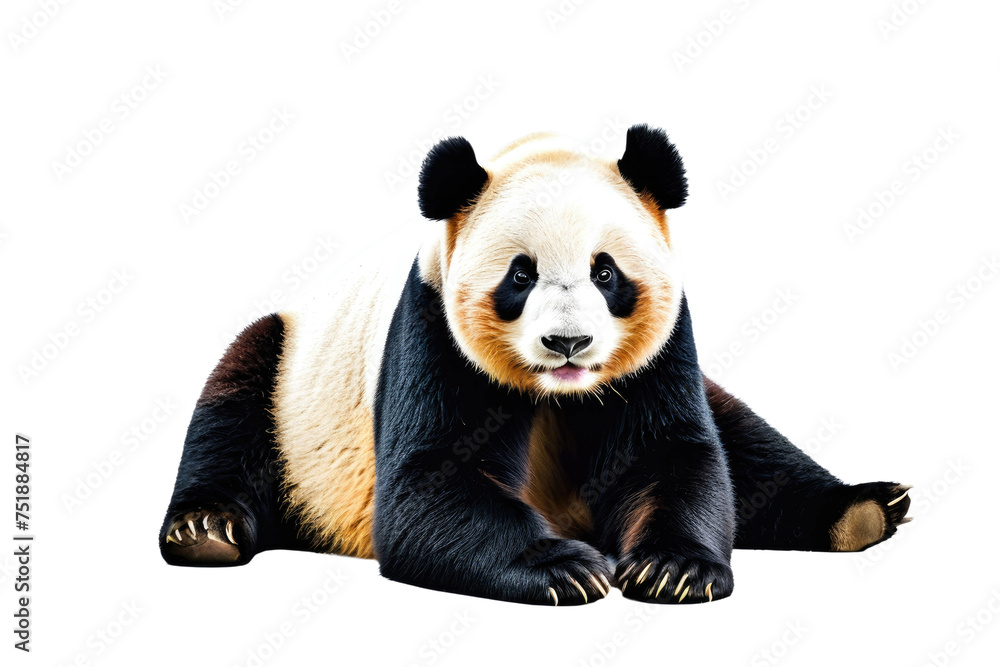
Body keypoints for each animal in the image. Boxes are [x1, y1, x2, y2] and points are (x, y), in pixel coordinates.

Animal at [159, 124, 911, 605]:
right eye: (520, 275)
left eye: (605, 272)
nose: (568, 344)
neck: (562, 394)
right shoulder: (434, 333)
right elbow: (431, 483)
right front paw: (566, 569)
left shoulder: (663, 352)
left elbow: (673, 455)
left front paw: (672, 571)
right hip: (291, 380)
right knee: (233, 398)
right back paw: (206, 531)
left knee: (750, 446)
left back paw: (862, 510)